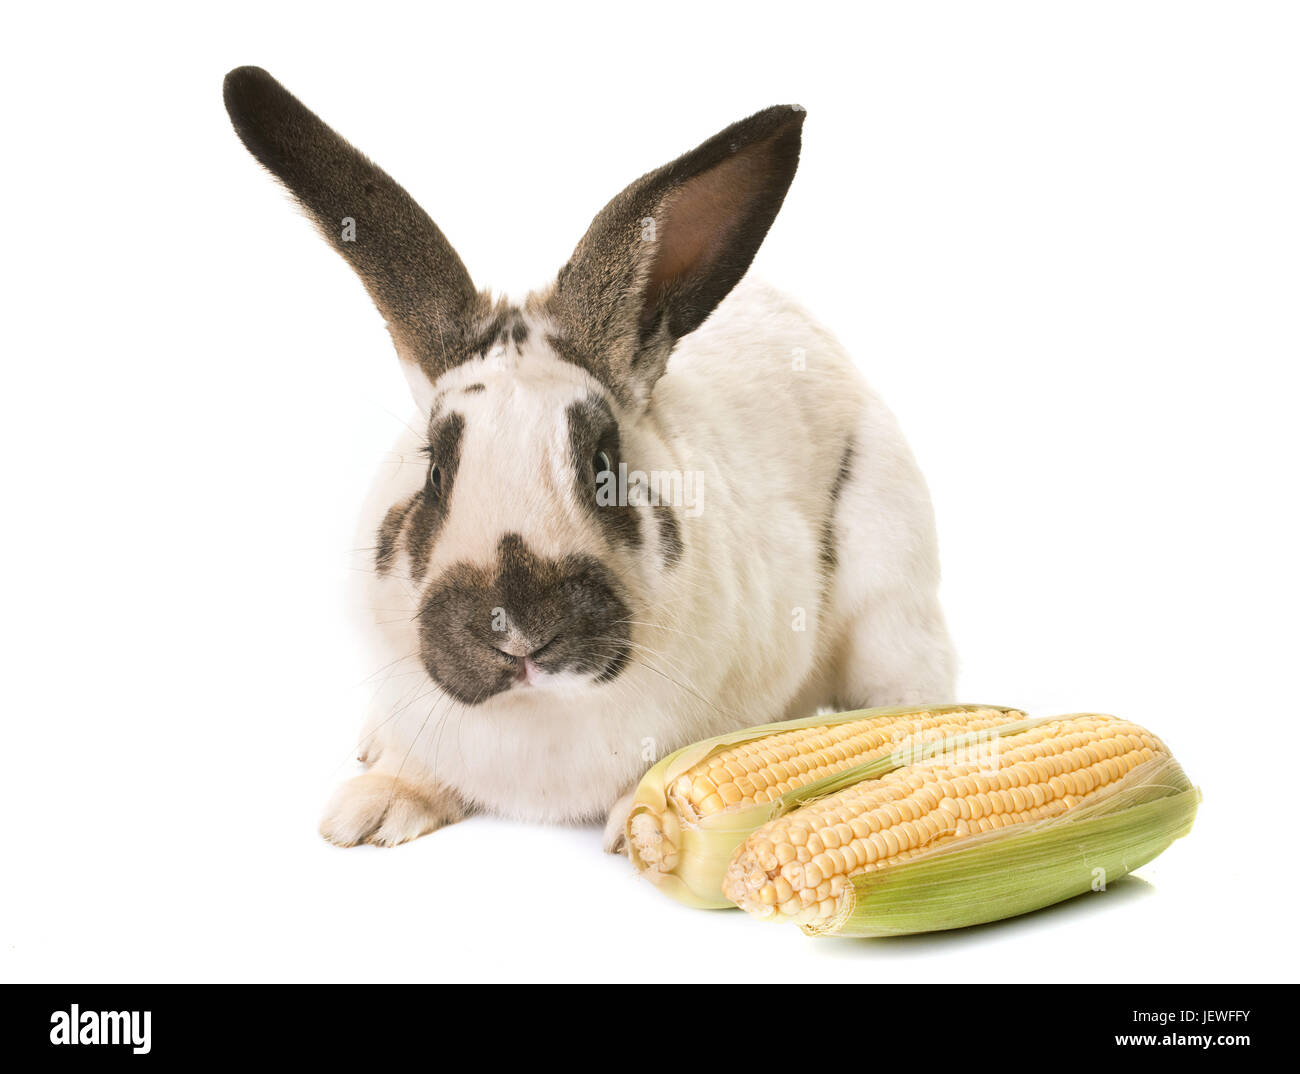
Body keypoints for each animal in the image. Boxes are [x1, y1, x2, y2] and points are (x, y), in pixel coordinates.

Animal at [222, 66, 956, 852]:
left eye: (603, 467)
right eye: (436, 472)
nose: (517, 632)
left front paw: (642, 828)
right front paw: (370, 810)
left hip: (891, 593)